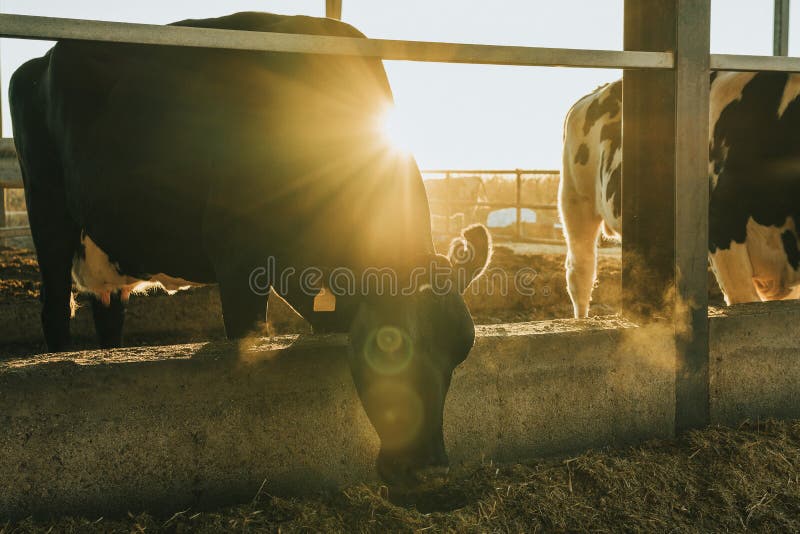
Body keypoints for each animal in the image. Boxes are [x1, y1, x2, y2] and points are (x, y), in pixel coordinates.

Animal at [9, 12, 492, 486]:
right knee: (55, 306)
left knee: (109, 312)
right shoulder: (237, 261)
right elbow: (247, 334)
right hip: (47, 211)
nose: (430, 472)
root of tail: (42, 59)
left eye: (461, 351)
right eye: (388, 346)